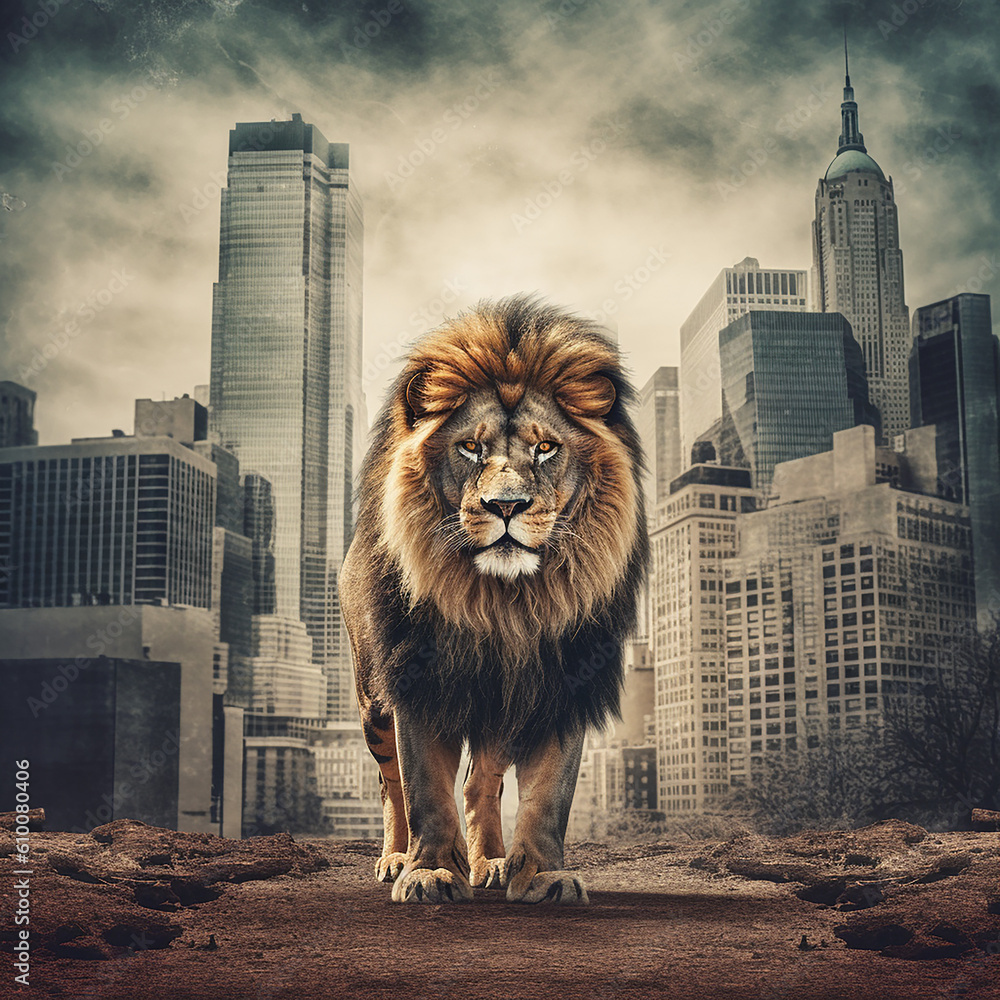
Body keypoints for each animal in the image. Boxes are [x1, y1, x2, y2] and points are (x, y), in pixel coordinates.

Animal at [340, 296, 647, 904]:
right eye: (470, 447)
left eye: (546, 448)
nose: (506, 505)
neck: (504, 603)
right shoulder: (416, 680)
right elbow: (424, 789)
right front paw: (429, 873)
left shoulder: (562, 684)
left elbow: (548, 796)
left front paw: (545, 876)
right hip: (372, 702)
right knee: (391, 784)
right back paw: (395, 859)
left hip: (506, 704)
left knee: (480, 783)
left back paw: (492, 863)